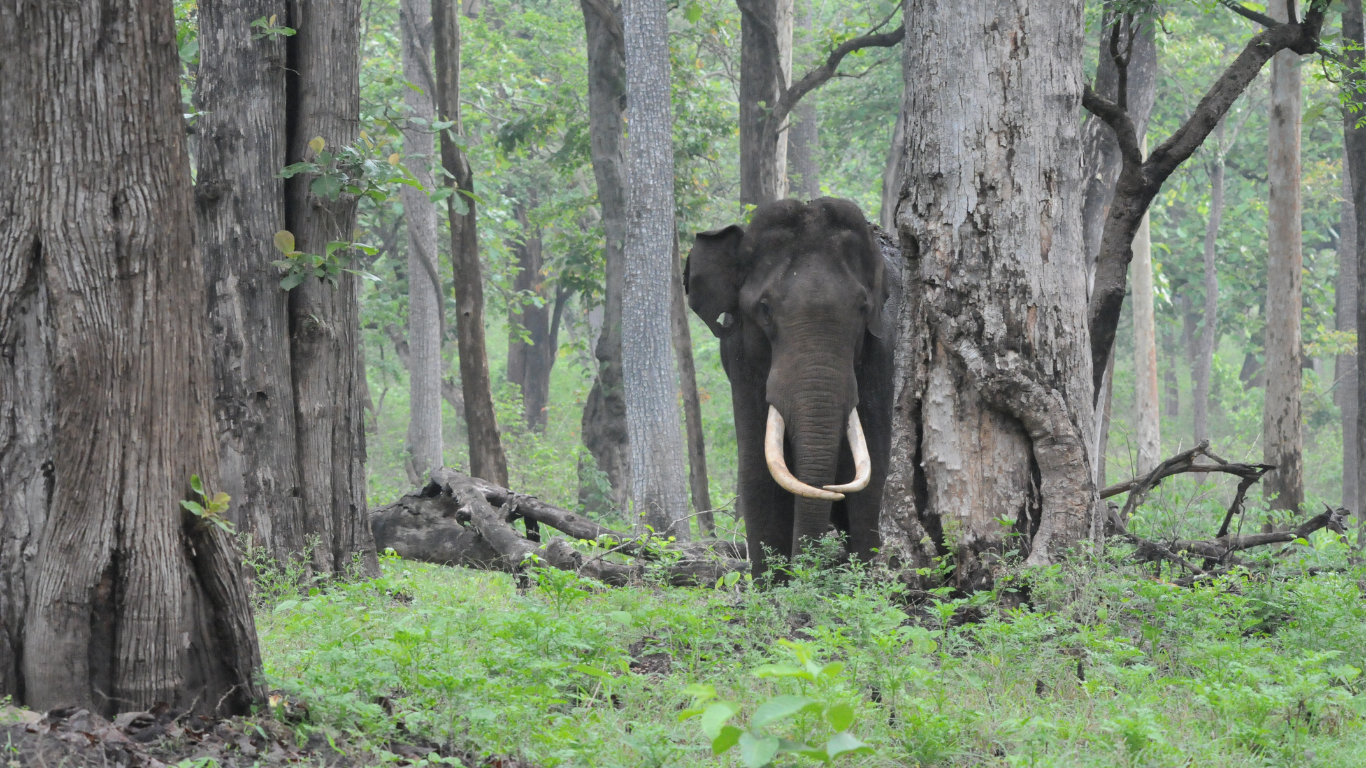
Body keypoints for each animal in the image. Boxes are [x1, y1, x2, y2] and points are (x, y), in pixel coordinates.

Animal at [685, 197, 899, 575]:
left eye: (862, 308)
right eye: (764, 308)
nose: (805, 569)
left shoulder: (881, 355)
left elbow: (873, 470)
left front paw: (864, 576)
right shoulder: (740, 360)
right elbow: (757, 469)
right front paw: (773, 582)